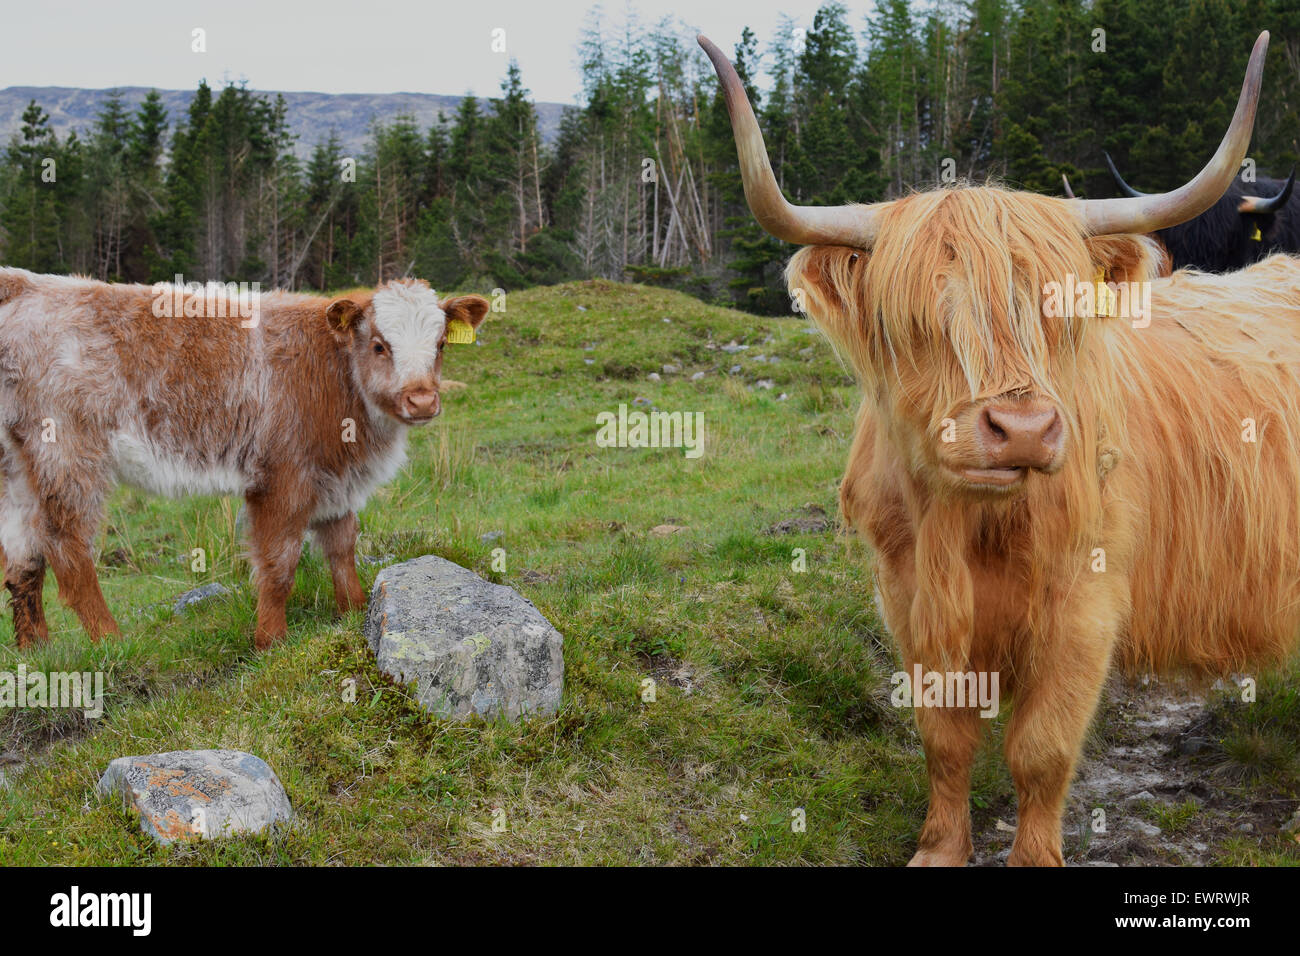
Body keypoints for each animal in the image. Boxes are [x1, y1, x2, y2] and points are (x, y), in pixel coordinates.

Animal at [0, 272, 489, 650]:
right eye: (379, 346)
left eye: (442, 344)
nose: (422, 400)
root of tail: (27, 284)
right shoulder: (282, 478)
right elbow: (279, 564)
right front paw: (271, 640)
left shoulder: (336, 479)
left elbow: (342, 547)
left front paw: (354, 613)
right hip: (67, 453)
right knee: (66, 545)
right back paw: (110, 642)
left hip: (16, 464)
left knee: (22, 556)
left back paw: (35, 651)